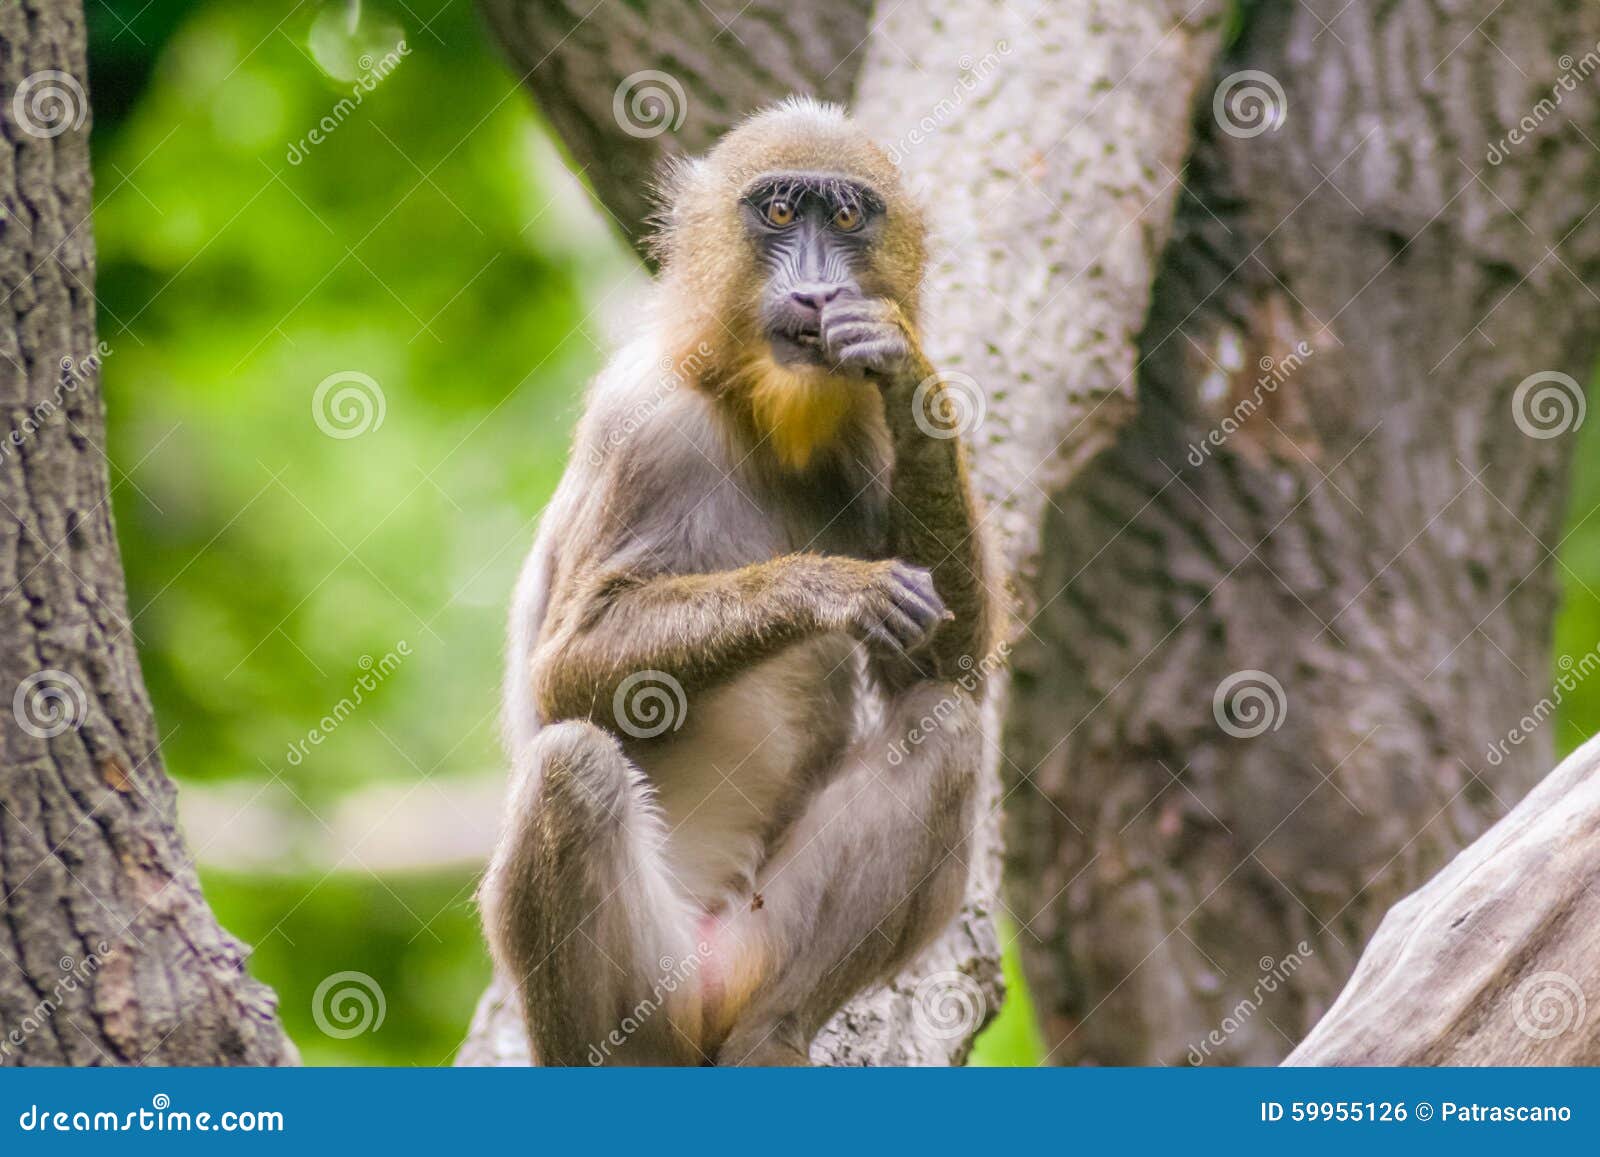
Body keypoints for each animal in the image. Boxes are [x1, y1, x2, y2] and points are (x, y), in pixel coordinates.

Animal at [479, 97, 997, 1066]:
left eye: (846, 217)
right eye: (781, 212)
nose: (817, 291)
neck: (747, 408)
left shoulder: (863, 427)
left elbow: (947, 664)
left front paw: (907, 363)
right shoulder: (639, 427)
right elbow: (563, 673)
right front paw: (829, 591)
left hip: (757, 943)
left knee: (944, 722)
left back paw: (771, 1036)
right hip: (657, 985)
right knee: (573, 767)